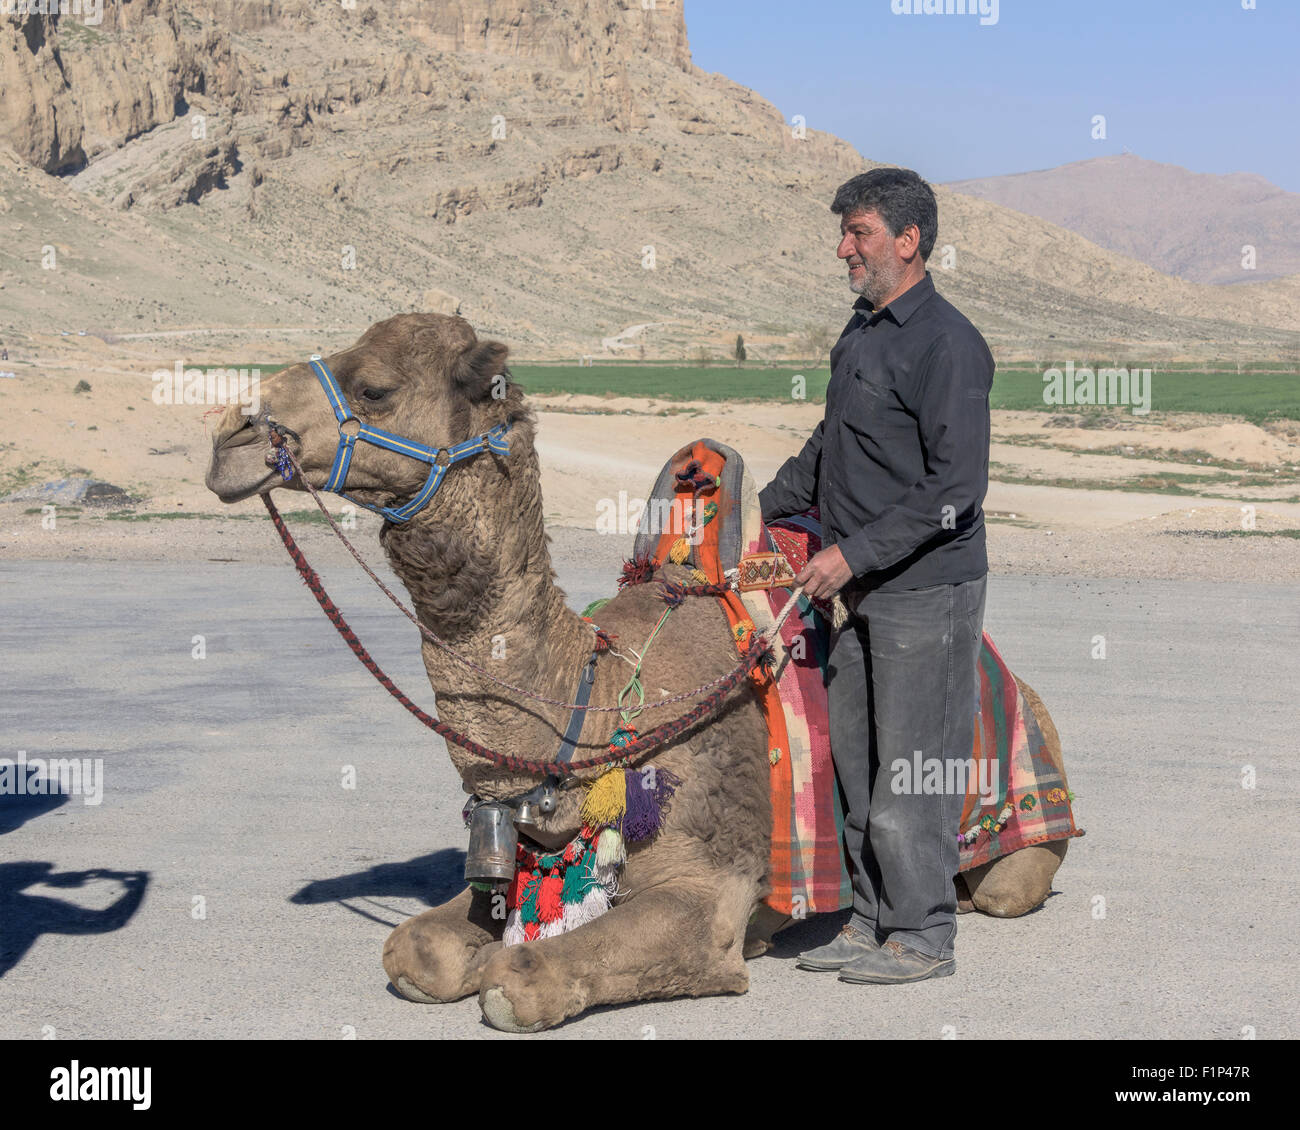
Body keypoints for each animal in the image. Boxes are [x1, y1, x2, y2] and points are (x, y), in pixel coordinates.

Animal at [205, 312, 1070, 1032]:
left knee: (1001, 883)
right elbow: (414, 949)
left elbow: (521, 979)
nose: (228, 435)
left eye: (375, 387)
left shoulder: (709, 894)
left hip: (1018, 834)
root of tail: (1026, 691)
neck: (588, 704)